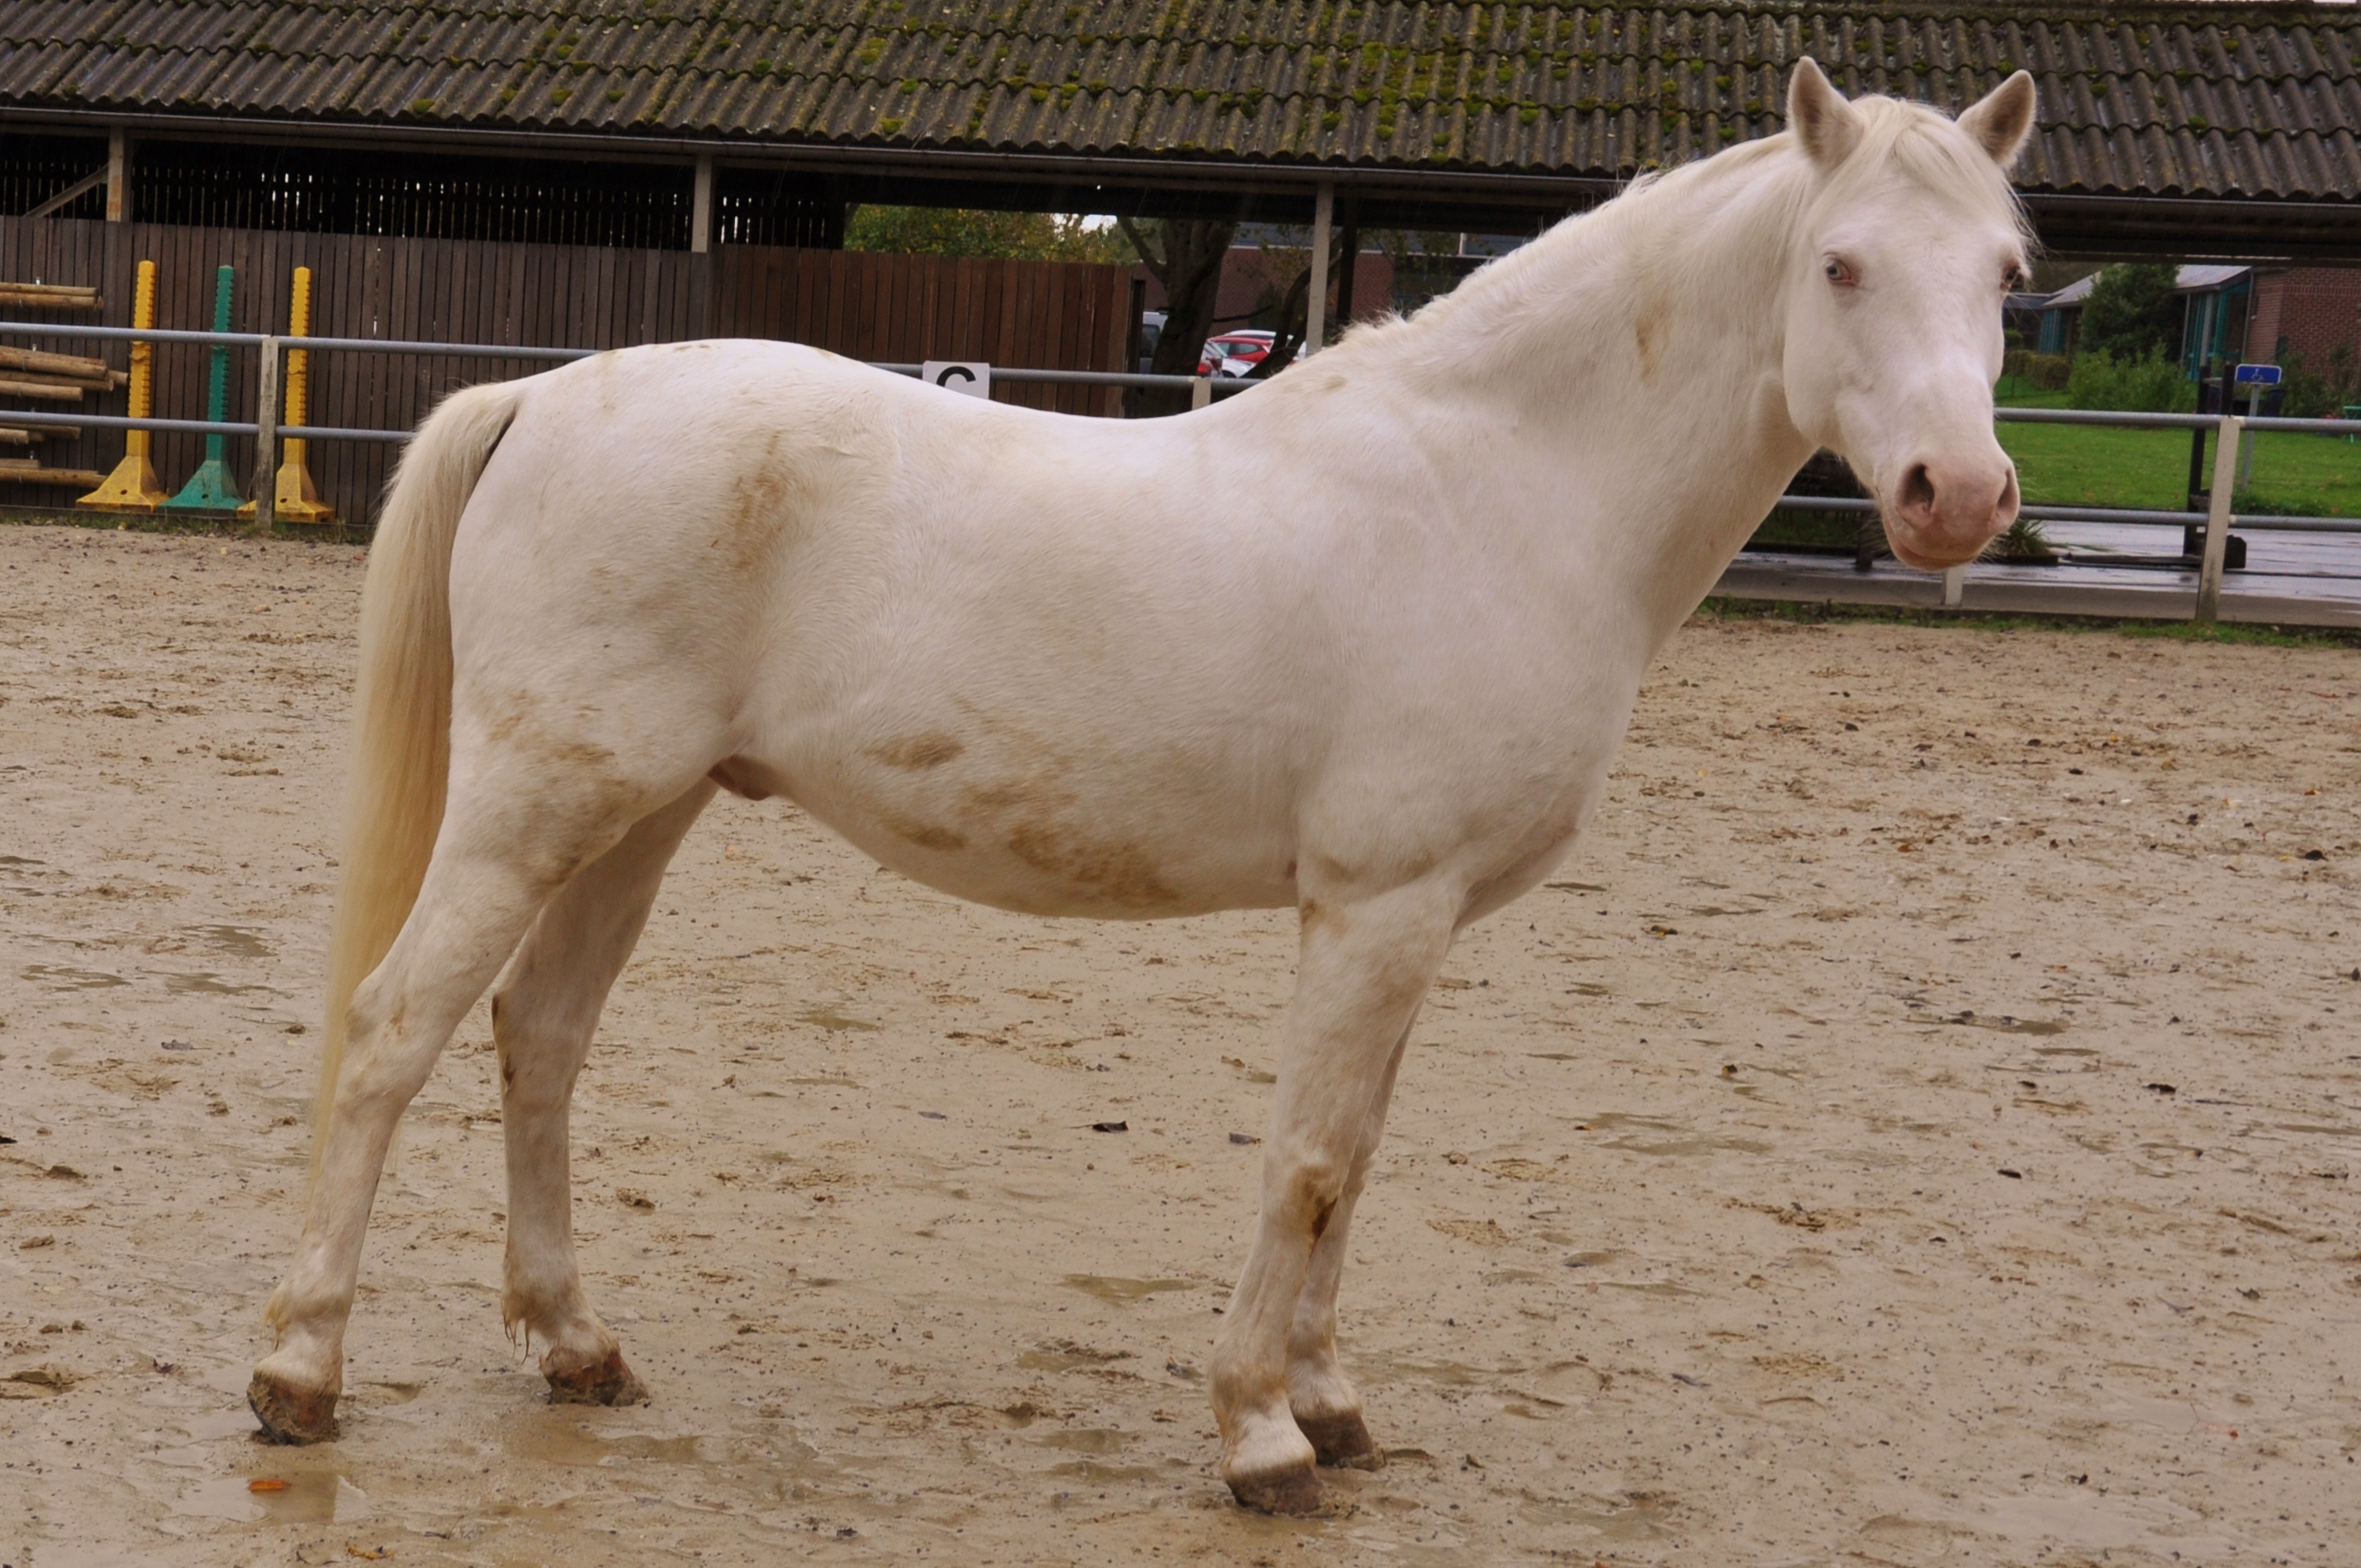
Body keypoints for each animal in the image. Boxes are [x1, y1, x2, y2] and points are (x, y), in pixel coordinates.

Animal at [249, 60, 2037, 1515]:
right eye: (1839, 263)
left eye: (2005, 274)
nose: (1955, 496)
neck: (1494, 486)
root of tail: (546, 392)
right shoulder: (1374, 908)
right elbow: (1306, 1160)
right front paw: (1260, 1435)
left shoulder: (1413, 925)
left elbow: (1354, 1158)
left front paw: (1331, 1405)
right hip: (535, 808)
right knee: (393, 1029)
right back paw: (299, 1369)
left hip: (643, 813)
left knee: (541, 1036)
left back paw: (574, 1345)